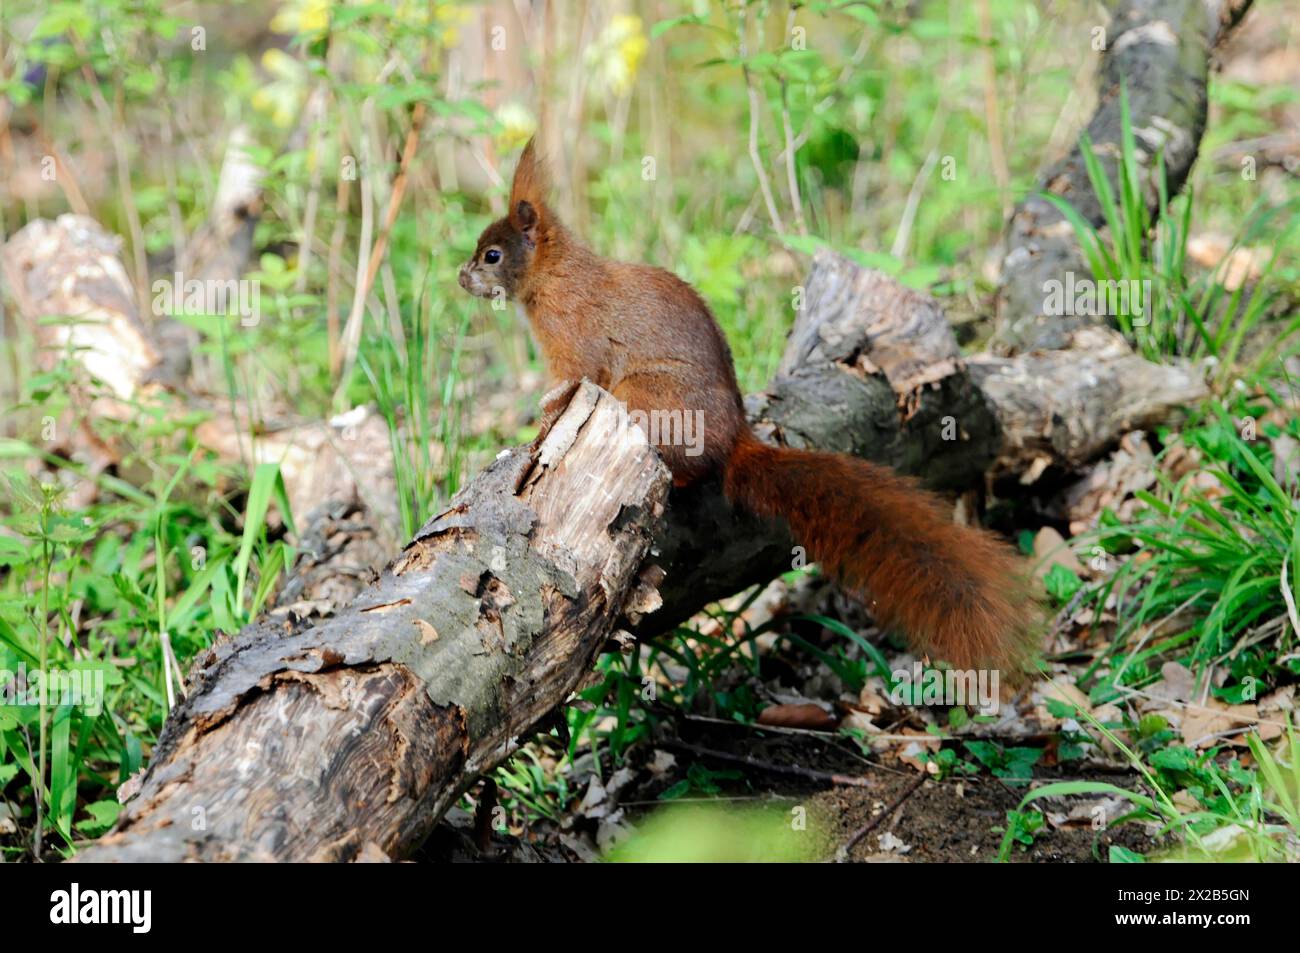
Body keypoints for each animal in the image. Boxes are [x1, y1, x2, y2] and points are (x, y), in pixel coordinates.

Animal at [458, 138, 1038, 673]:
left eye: (492, 255)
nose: (462, 278)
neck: (554, 276)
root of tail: (735, 439)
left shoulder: (577, 345)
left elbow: (571, 384)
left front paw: (540, 425)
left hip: (651, 400)